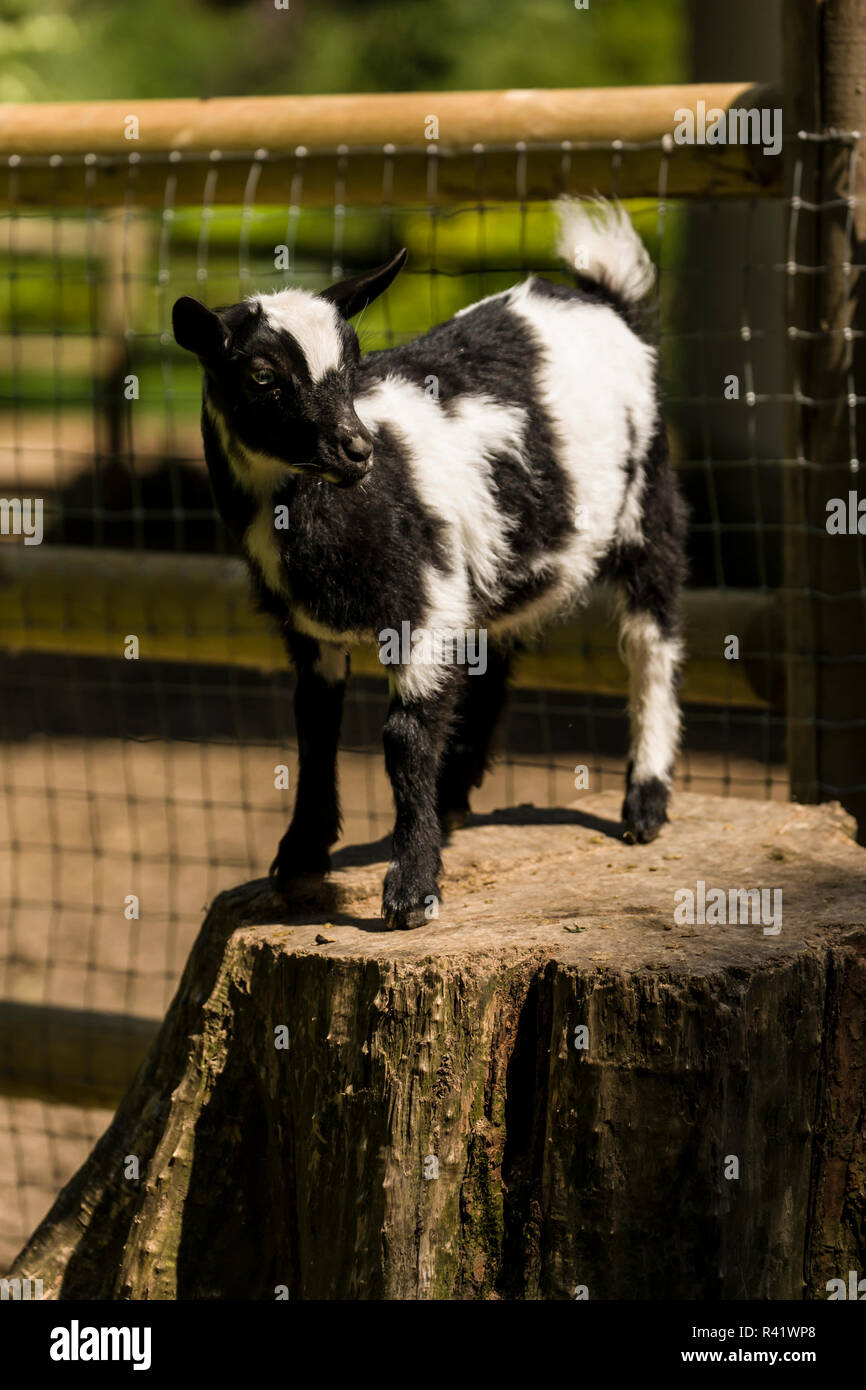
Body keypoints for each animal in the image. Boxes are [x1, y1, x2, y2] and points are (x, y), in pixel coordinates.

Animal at [173, 198, 687, 929]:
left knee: (651, 639)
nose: (356, 449)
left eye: (354, 363)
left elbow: (404, 737)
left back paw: (644, 803)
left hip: (648, 499)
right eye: (261, 377)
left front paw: (412, 890)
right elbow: (314, 728)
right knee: (495, 659)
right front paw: (301, 857)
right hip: (500, 562)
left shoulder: (427, 605)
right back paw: (452, 801)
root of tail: (604, 300)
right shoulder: (313, 633)